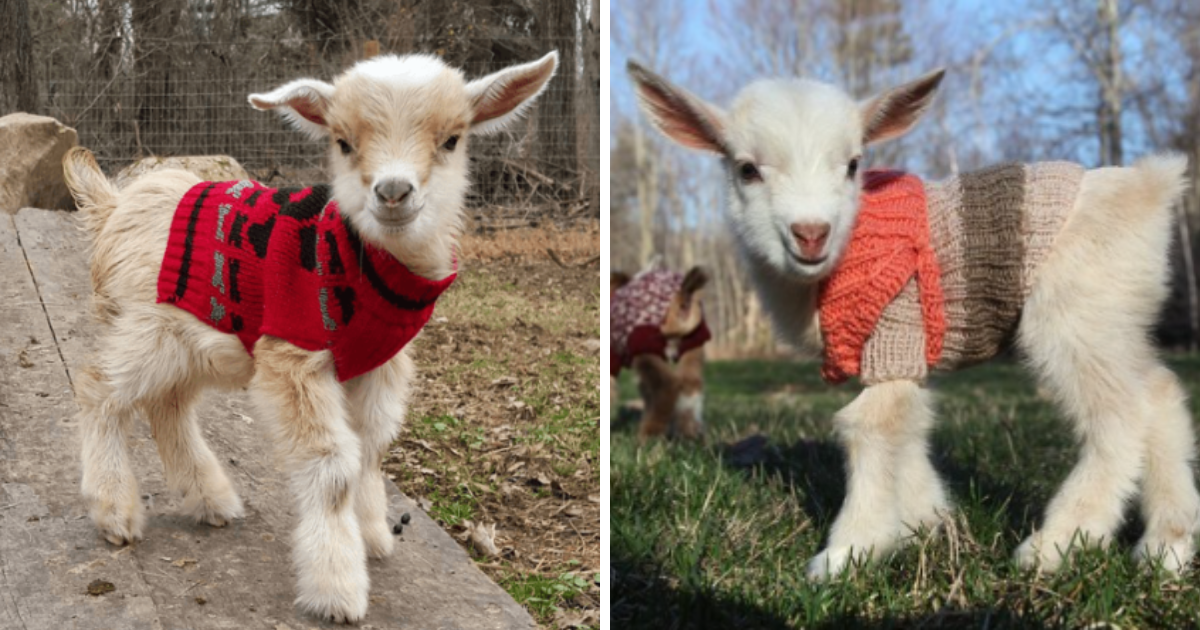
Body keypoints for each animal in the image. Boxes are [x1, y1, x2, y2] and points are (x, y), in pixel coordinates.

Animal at [62, 50, 558, 623]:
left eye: (452, 139)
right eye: (343, 142)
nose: (392, 192)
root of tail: (113, 208)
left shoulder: (380, 365)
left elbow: (370, 447)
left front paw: (371, 536)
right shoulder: (294, 355)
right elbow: (332, 464)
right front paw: (338, 590)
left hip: (196, 342)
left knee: (167, 405)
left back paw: (210, 500)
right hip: (150, 328)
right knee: (98, 386)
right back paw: (114, 512)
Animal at [628, 61, 1199, 579]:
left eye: (853, 164)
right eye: (746, 169)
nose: (810, 233)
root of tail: (1150, 187)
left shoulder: (894, 330)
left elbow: (871, 425)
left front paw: (849, 552)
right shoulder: (901, 356)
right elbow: (910, 426)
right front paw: (927, 522)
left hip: (1073, 316)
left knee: (1120, 414)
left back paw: (1056, 546)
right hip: (1115, 318)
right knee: (1159, 393)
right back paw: (1166, 547)